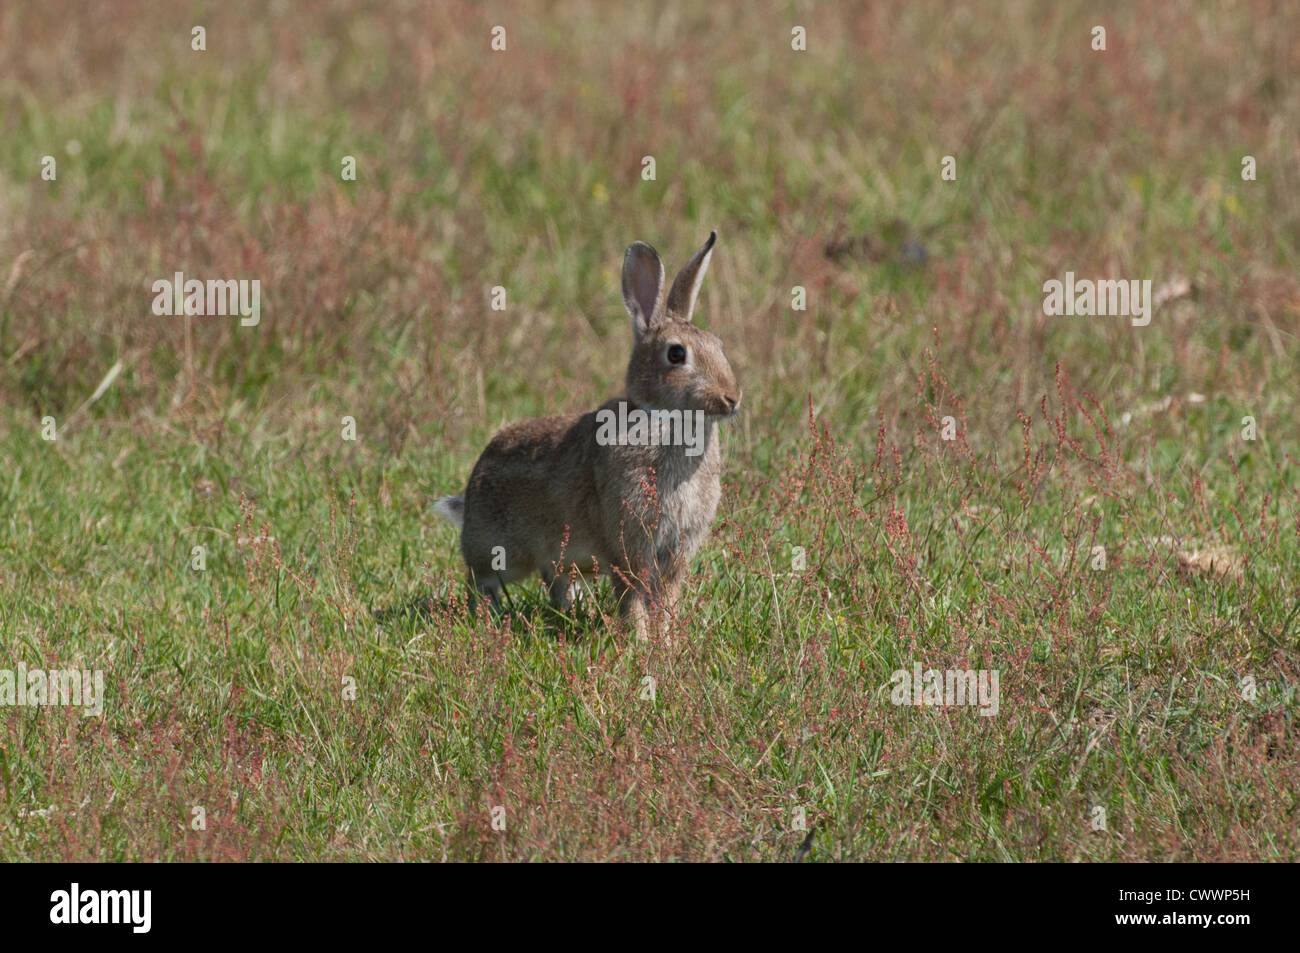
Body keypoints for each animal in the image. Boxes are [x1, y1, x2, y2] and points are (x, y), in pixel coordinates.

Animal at [432, 231, 742, 640]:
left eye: (719, 345)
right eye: (676, 354)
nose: (732, 399)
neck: (665, 419)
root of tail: (474, 483)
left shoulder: (675, 549)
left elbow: (667, 599)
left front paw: (668, 642)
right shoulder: (627, 543)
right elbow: (633, 599)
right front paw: (639, 642)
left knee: (557, 581)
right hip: (500, 550)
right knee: (481, 579)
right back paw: (488, 618)